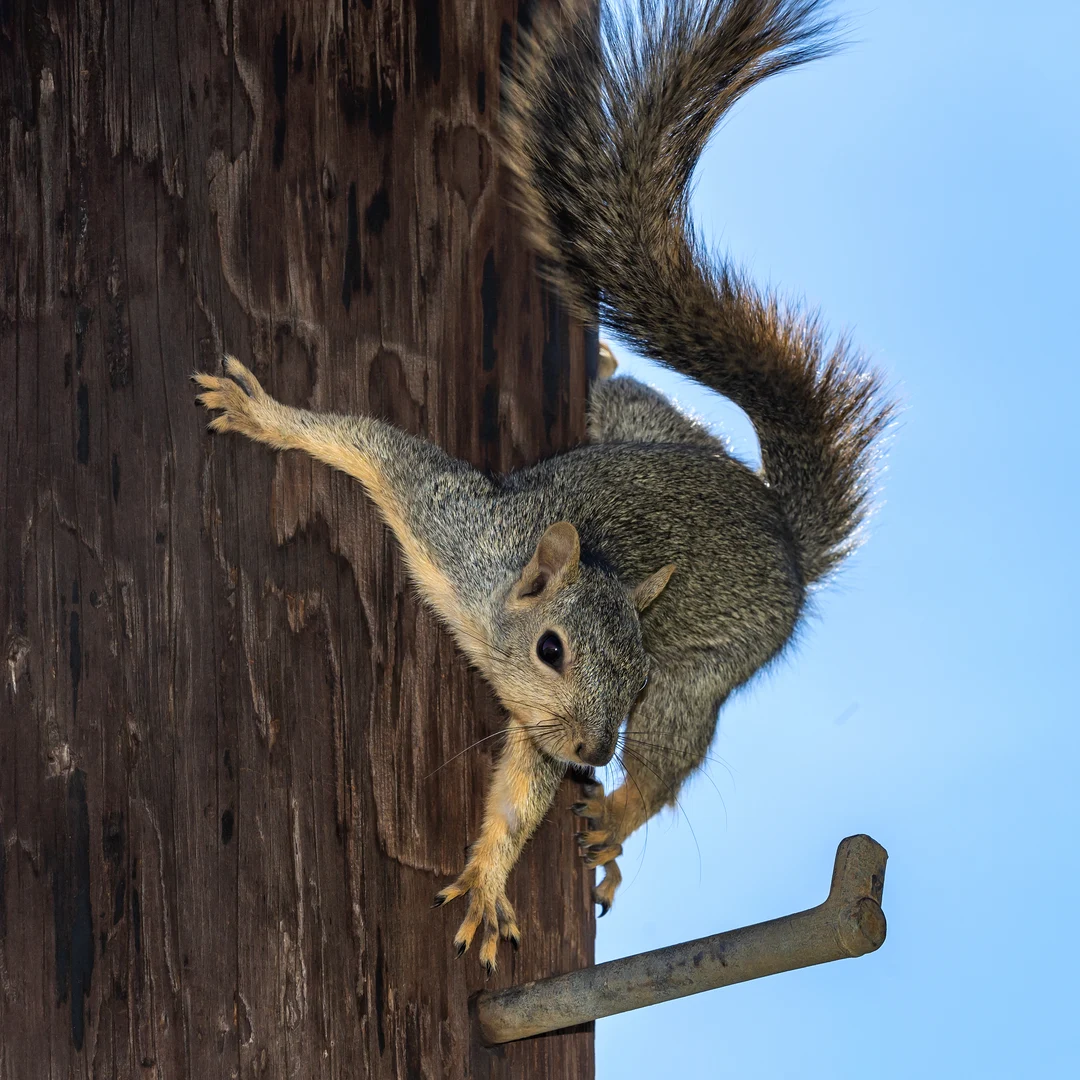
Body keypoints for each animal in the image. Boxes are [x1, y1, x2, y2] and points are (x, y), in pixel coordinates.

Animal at [195, 0, 893, 974]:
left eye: (635, 676)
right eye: (552, 650)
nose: (596, 745)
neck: (491, 609)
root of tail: (785, 533)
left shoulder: (557, 694)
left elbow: (527, 788)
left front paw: (493, 880)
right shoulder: (446, 520)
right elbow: (367, 444)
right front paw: (264, 414)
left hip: (707, 673)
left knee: (670, 764)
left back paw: (616, 816)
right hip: (635, 425)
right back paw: (602, 363)